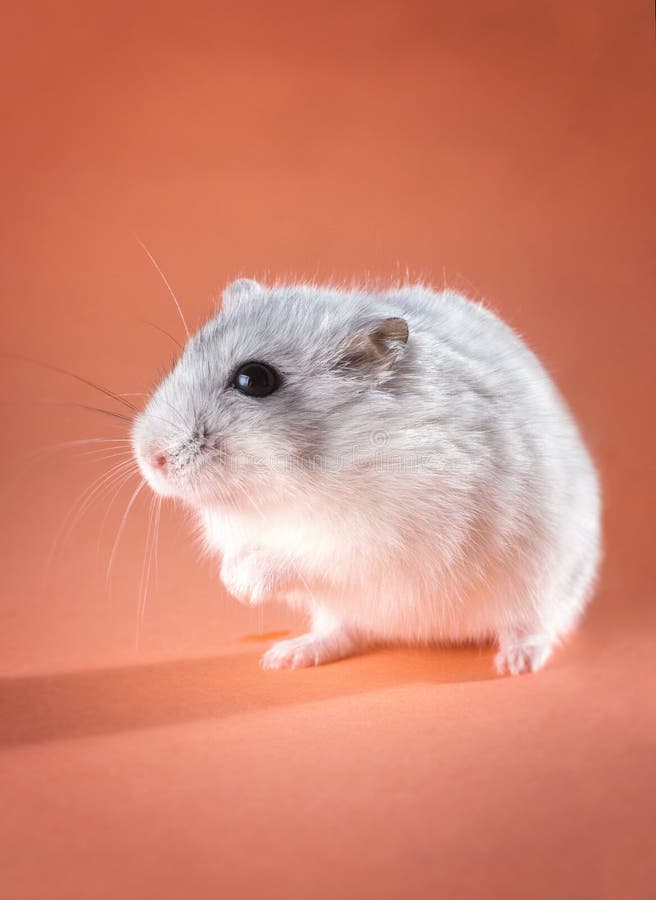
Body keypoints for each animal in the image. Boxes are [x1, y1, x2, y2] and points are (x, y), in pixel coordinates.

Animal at [132, 279, 601, 674]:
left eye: (254, 379)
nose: (151, 458)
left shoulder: (380, 533)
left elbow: (305, 554)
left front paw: (243, 587)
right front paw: (231, 582)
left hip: (544, 586)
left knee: (534, 626)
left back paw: (515, 664)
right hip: (340, 612)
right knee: (343, 632)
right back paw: (286, 656)